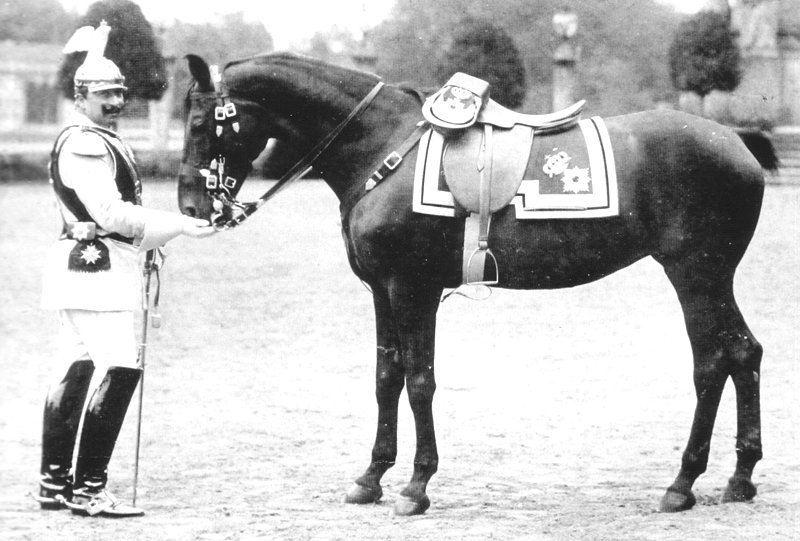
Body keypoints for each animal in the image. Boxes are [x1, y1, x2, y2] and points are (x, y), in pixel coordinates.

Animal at [178, 52, 777, 516]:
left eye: (201, 123)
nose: (189, 207)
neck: (383, 147)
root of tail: (735, 141)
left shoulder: (411, 289)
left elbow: (419, 381)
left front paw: (416, 487)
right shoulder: (381, 292)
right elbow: (386, 378)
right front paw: (371, 478)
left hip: (694, 274)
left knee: (711, 364)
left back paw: (682, 484)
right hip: (713, 277)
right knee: (744, 353)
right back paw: (739, 478)